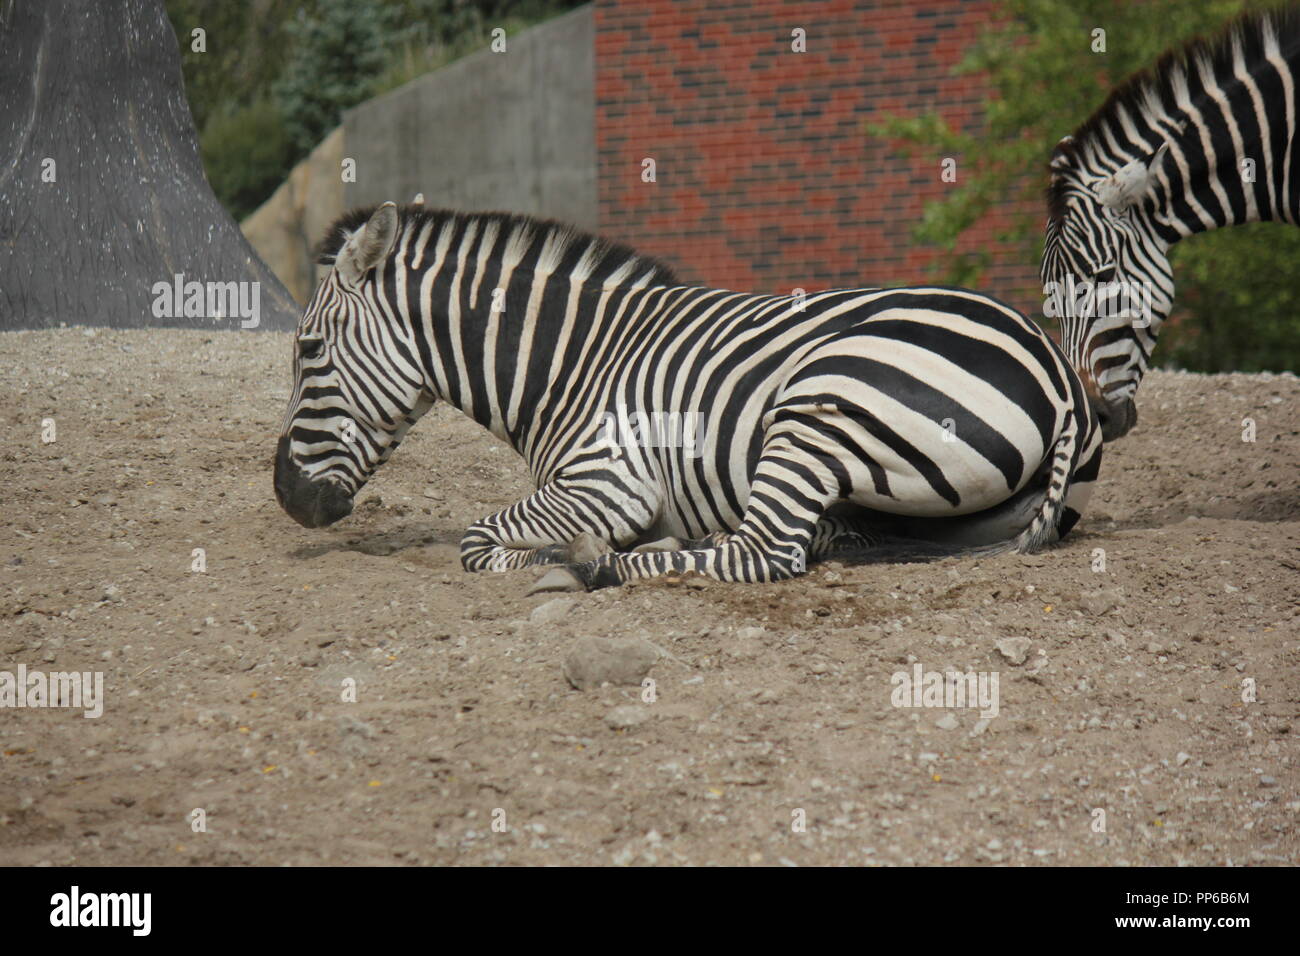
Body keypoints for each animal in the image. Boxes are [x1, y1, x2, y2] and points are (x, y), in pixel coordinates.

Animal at [274, 201, 1104, 588]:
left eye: (306, 352)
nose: (285, 495)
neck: (572, 362)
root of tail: (1056, 366)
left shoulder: (607, 482)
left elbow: (477, 541)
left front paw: (569, 552)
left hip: (820, 403)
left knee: (762, 553)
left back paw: (608, 565)